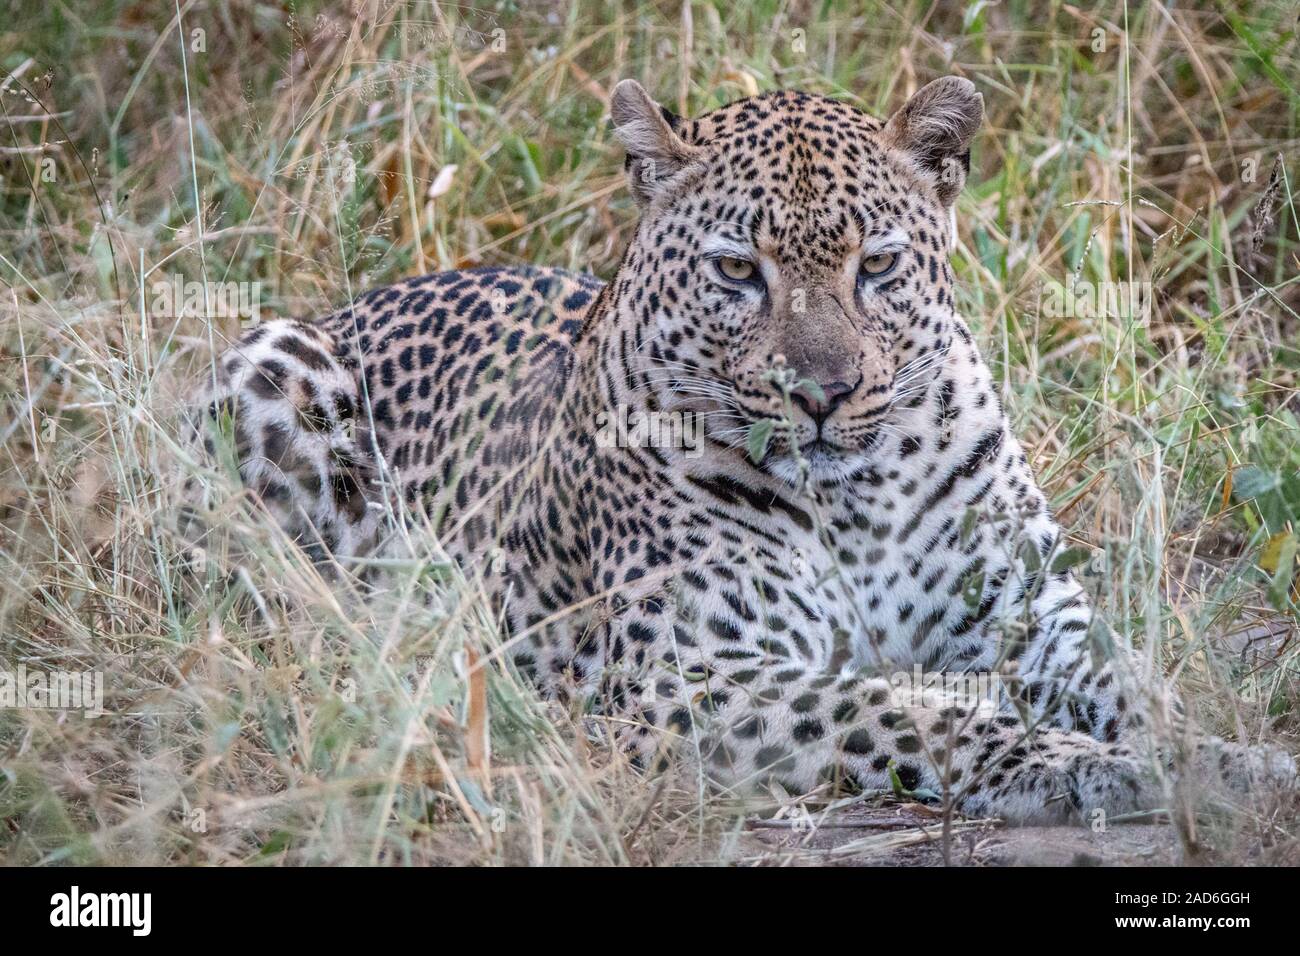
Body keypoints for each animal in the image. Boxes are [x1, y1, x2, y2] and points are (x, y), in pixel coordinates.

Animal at [183, 76, 1295, 825]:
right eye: (735, 270)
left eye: (876, 265)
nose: (821, 394)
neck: (862, 497)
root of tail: (364, 297)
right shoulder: (692, 673)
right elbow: (900, 711)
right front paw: (1070, 764)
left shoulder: (1031, 618)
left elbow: (1141, 687)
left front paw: (1225, 762)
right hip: (274, 362)